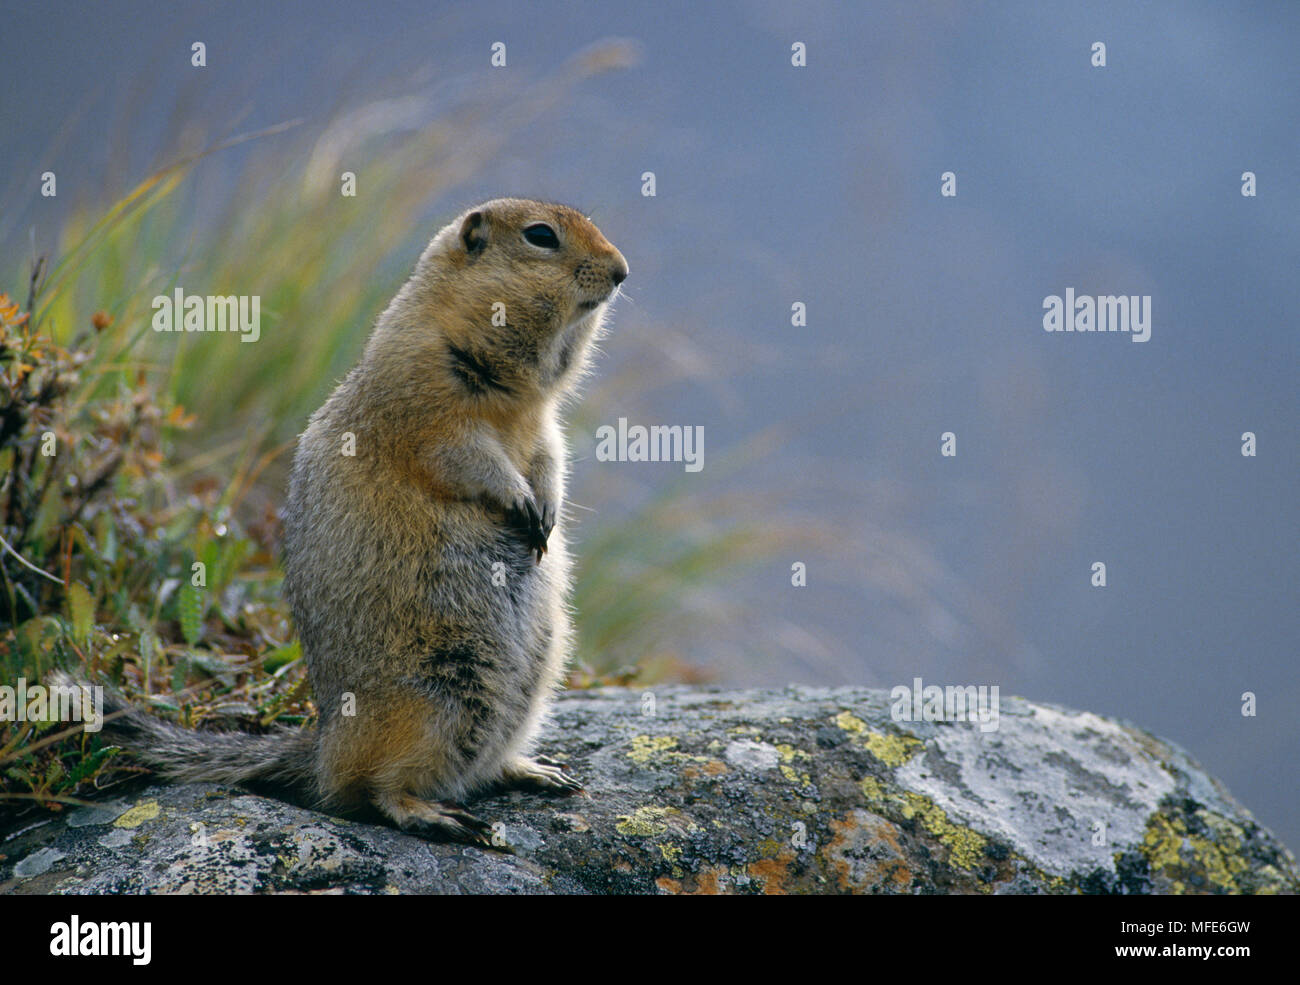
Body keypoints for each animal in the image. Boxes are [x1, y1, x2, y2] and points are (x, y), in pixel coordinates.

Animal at [76, 199, 628, 846]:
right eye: (541, 236)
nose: (621, 271)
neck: (514, 388)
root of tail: (322, 748)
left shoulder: (543, 426)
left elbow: (551, 458)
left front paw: (546, 509)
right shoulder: (428, 408)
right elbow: (466, 457)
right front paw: (520, 502)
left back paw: (537, 771)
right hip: (435, 699)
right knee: (372, 790)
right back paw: (437, 815)